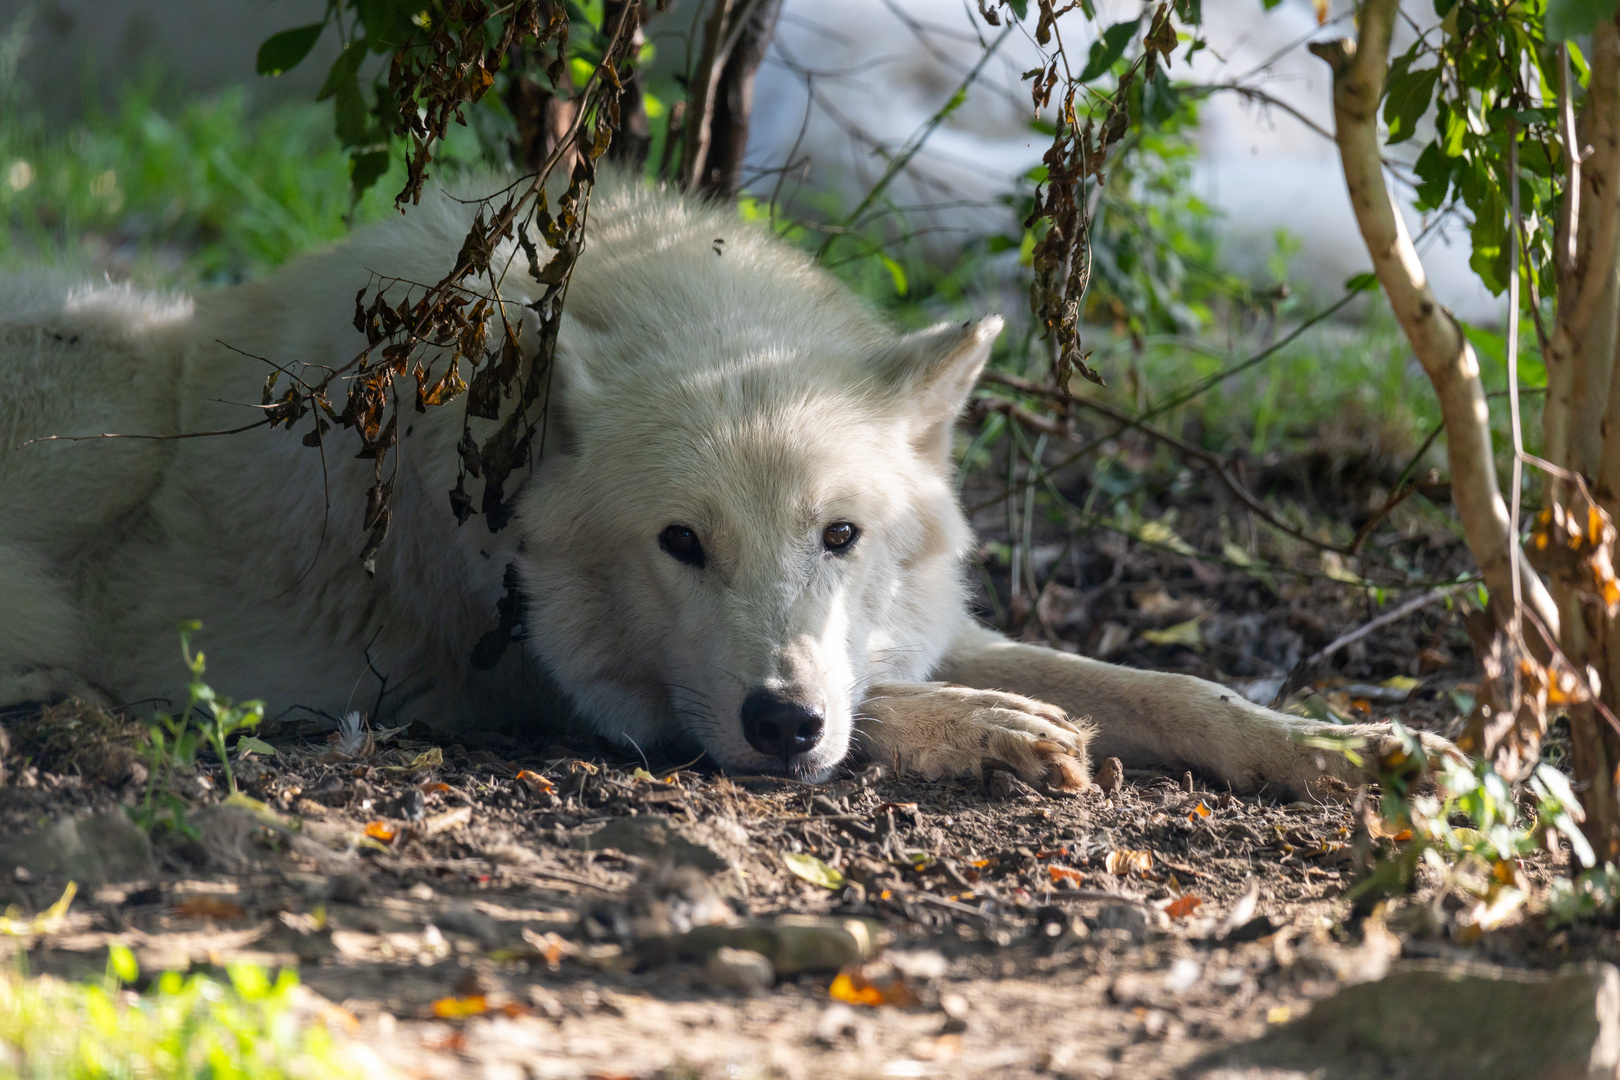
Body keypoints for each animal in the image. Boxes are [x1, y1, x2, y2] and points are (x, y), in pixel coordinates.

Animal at [0, 177, 1458, 799]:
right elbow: (901, 705)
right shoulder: (548, 686)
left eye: (840, 535)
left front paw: (1351, 749)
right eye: (680, 543)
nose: (785, 724)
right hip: (120, 380)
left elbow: (1167, 690)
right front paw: (987, 729)